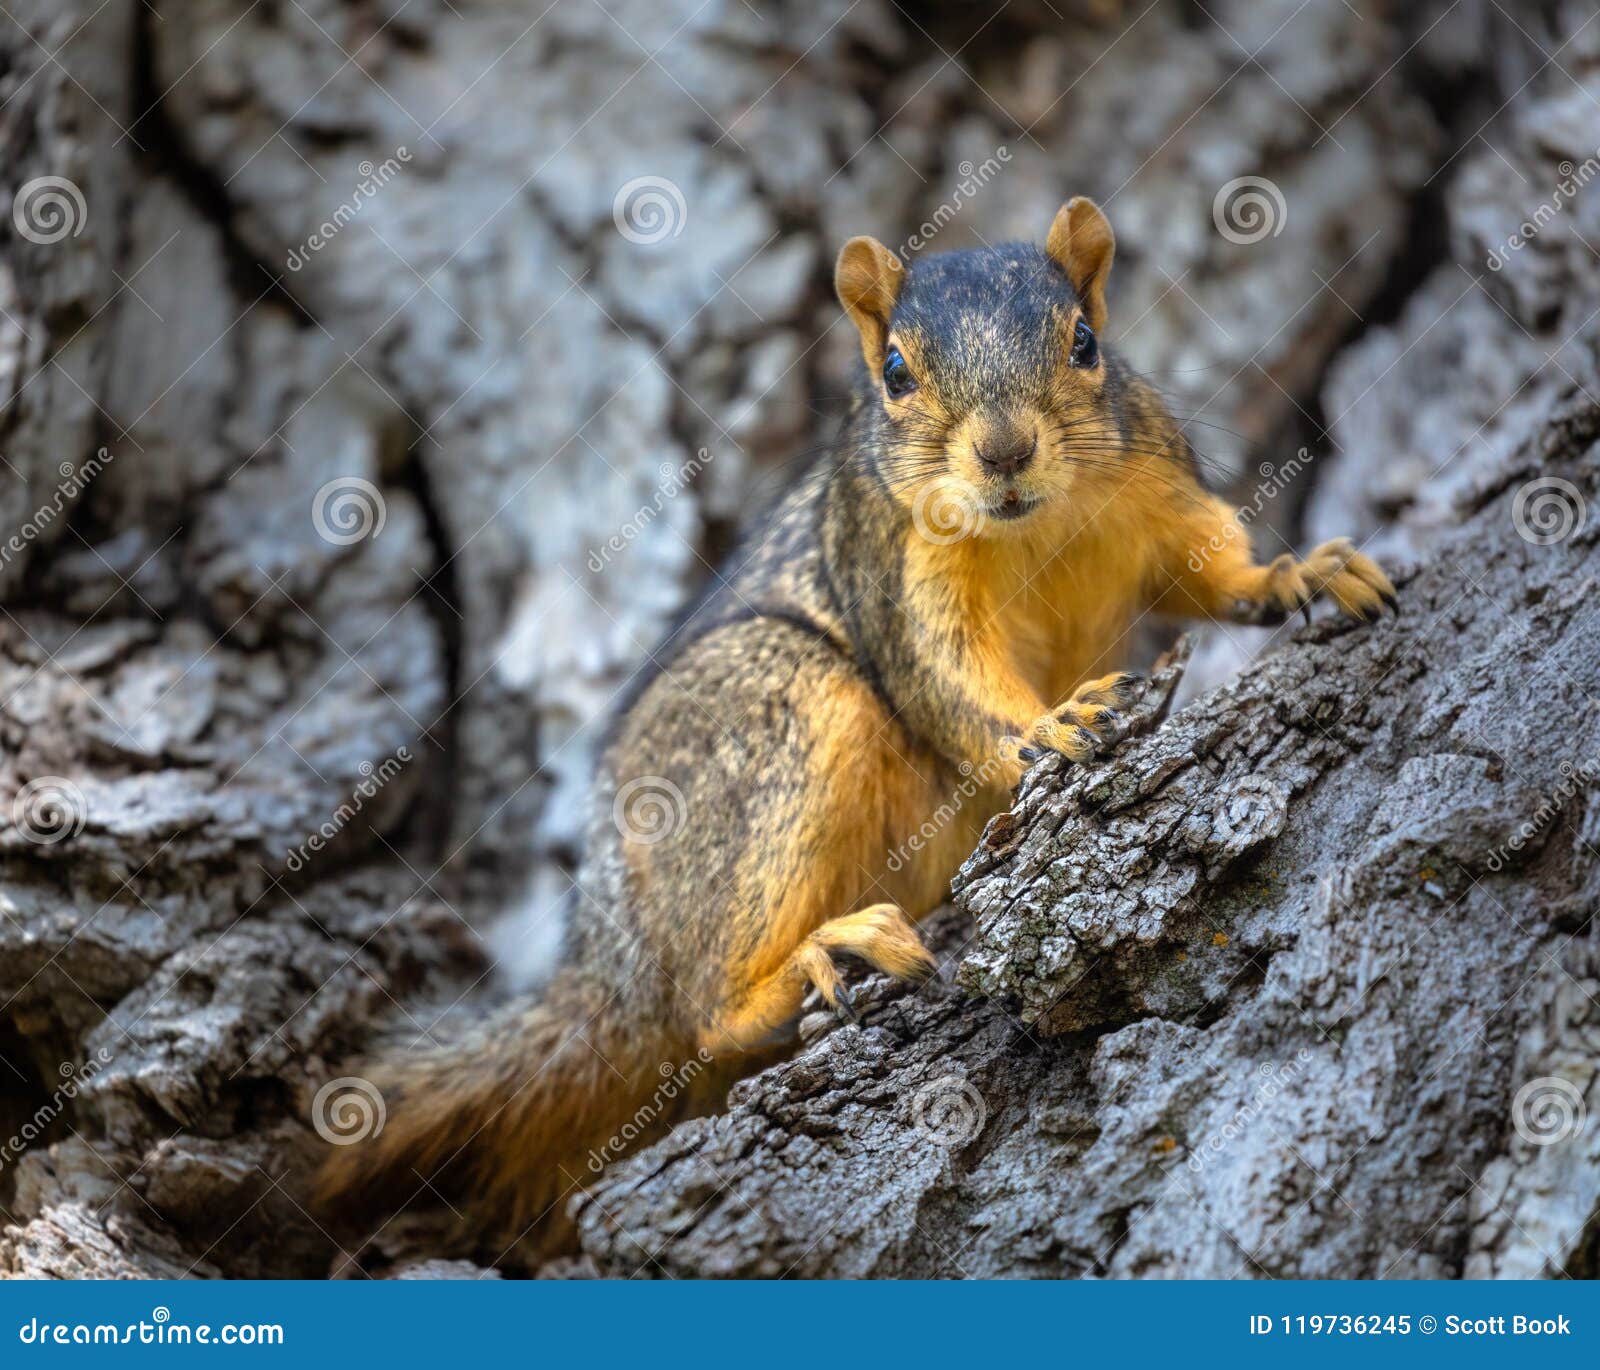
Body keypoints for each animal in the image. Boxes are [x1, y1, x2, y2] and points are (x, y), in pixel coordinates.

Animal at [317, 196, 1396, 1256]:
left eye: (1086, 341)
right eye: (894, 373)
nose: (1004, 453)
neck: (1034, 525)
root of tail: (611, 957)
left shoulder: (1155, 482)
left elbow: (1206, 566)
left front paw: (1297, 573)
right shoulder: (898, 563)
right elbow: (945, 677)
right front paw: (1051, 721)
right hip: (780, 715)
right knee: (705, 1013)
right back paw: (815, 959)